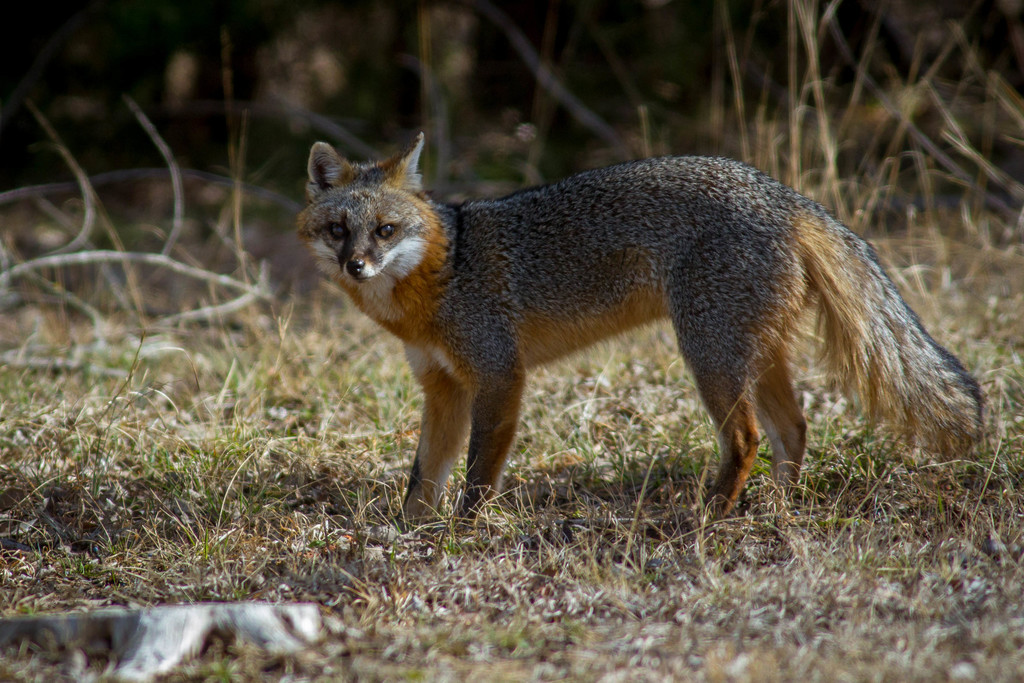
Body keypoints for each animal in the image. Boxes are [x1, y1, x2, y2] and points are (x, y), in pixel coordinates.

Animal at [297, 132, 983, 521]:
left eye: (385, 230)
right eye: (338, 230)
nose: (357, 265)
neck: (446, 268)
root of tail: (782, 193)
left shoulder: (498, 376)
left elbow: (475, 474)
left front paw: (463, 532)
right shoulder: (442, 387)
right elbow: (424, 476)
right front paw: (410, 531)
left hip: (709, 354)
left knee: (746, 439)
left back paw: (708, 516)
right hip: (752, 356)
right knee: (792, 430)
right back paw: (777, 508)